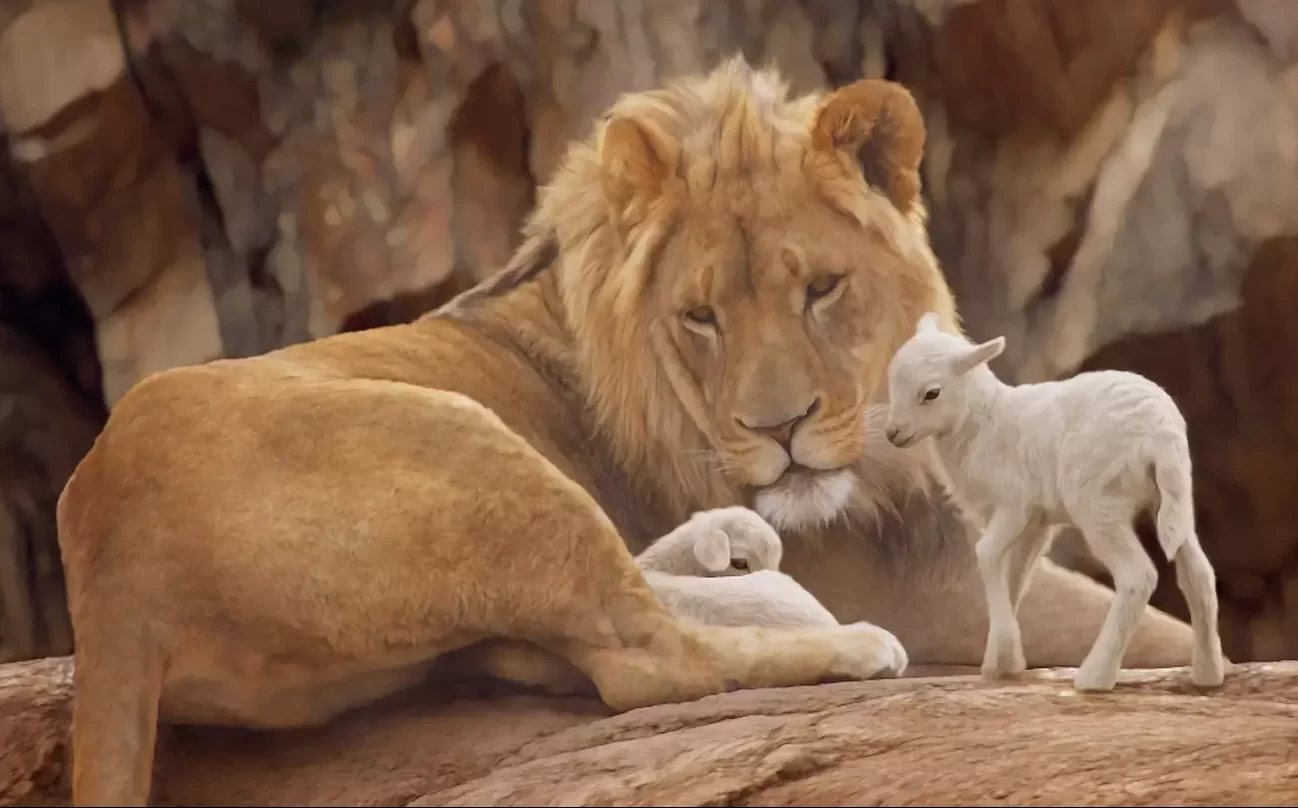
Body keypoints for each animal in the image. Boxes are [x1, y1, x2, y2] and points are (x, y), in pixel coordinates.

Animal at [881, 311, 1225, 692]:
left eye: (931, 393)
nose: (893, 434)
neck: (984, 423)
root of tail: (1161, 433)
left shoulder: (1014, 505)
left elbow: (986, 555)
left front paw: (1004, 652)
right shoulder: (1036, 523)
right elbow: (1015, 576)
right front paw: (1001, 661)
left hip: (1098, 502)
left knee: (1138, 576)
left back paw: (1095, 676)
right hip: (1173, 499)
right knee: (1199, 574)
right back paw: (1207, 674)